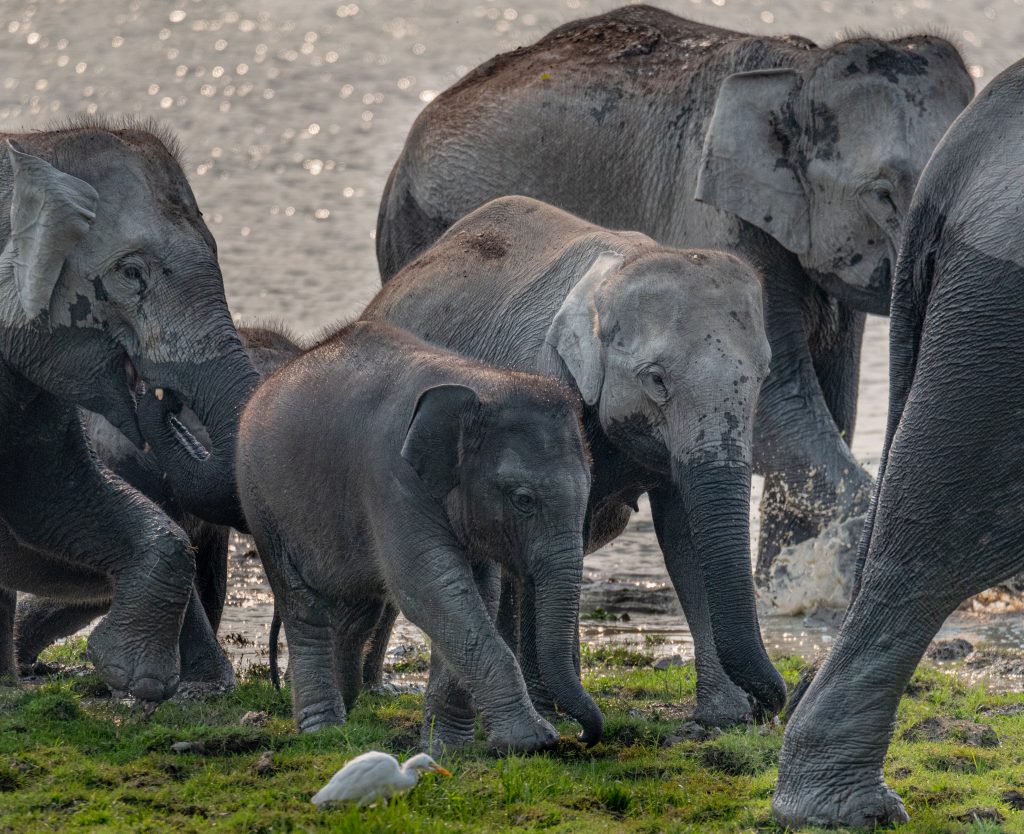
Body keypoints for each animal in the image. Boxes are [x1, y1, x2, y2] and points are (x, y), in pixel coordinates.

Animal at [236, 319, 604, 752]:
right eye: (524, 499)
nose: (582, 734)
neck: (479, 383)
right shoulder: (391, 479)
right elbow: (431, 587)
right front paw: (531, 741)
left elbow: (477, 592)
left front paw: (447, 748)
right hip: (263, 507)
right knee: (303, 609)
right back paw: (323, 729)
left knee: (356, 612)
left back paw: (346, 705)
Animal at [363, 195, 785, 726]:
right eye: (656, 380)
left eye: (762, 374)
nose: (768, 709)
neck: (617, 271)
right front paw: (555, 711)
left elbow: (685, 532)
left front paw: (723, 717)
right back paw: (376, 693)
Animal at [374, 4, 974, 570]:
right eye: (882, 196)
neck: (798, 71)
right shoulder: (709, 221)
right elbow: (778, 411)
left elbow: (832, 404)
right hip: (414, 228)